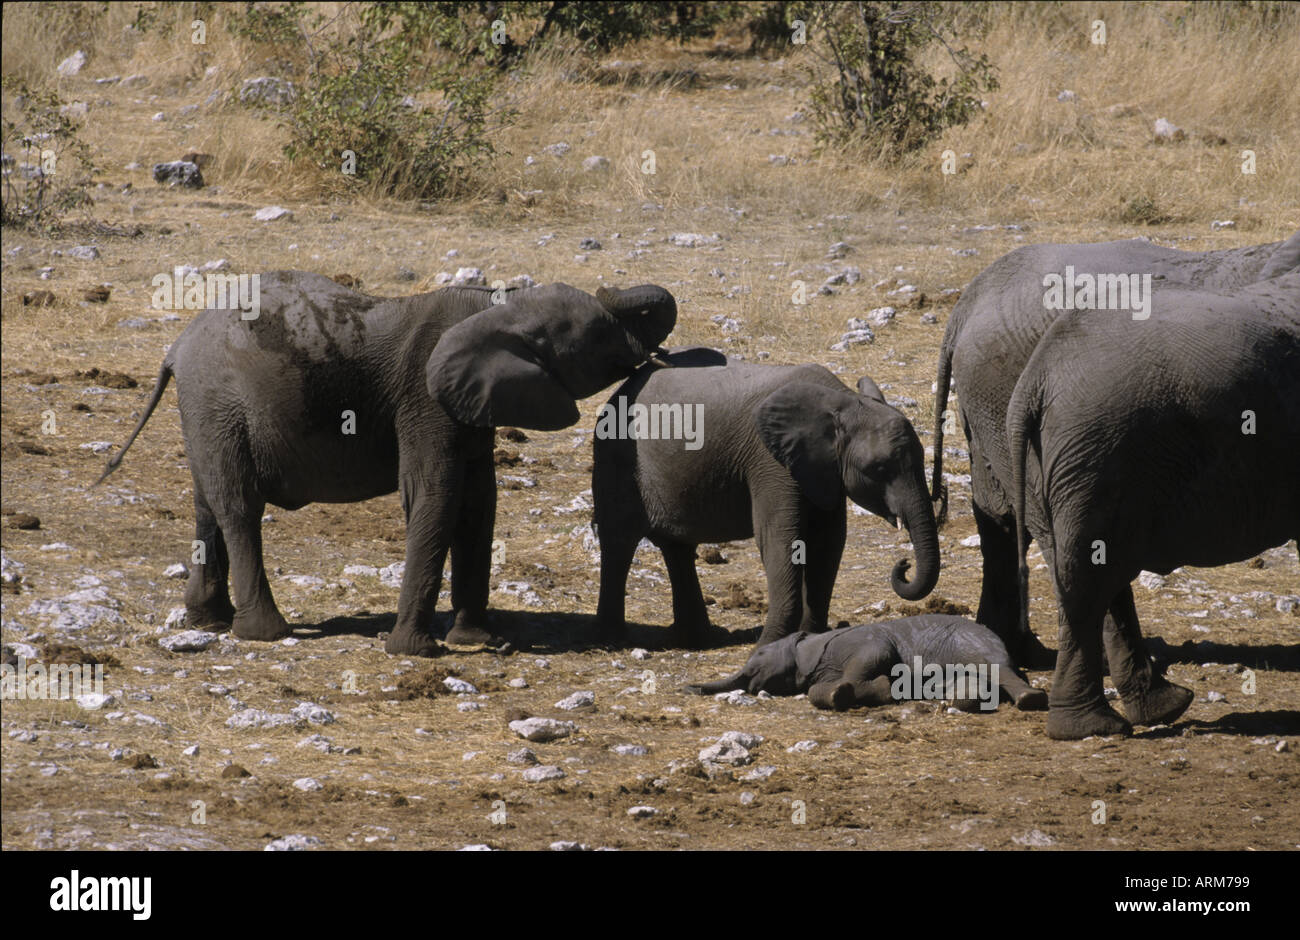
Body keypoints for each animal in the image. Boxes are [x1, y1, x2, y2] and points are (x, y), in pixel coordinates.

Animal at [97, 272, 677, 656]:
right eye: (599, 333)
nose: (658, 356)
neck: (502, 308)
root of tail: (176, 347)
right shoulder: (424, 398)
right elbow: (434, 495)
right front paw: (411, 651)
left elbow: (478, 506)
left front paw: (478, 642)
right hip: (220, 401)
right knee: (239, 508)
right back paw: (266, 633)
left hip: (206, 411)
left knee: (207, 503)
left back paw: (209, 622)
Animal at [592, 349, 939, 649]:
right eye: (878, 468)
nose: (904, 563)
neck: (841, 399)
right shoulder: (770, 461)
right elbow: (779, 537)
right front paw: (769, 645)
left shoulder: (825, 471)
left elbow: (828, 541)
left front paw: (808, 639)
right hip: (616, 455)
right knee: (619, 542)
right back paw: (613, 640)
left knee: (677, 548)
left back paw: (696, 640)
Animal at [685, 615, 1047, 712]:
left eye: (757, 658)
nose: (687, 688)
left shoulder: (862, 642)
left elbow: (877, 655)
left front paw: (880, 689)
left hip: (974, 641)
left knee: (997, 668)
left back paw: (1031, 700)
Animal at [1008, 272, 1300, 739]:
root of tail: (1037, 378)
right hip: (1101, 452)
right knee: (1088, 579)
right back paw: (1095, 727)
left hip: (1056, 466)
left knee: (1085, 574)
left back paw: (1159, 708)